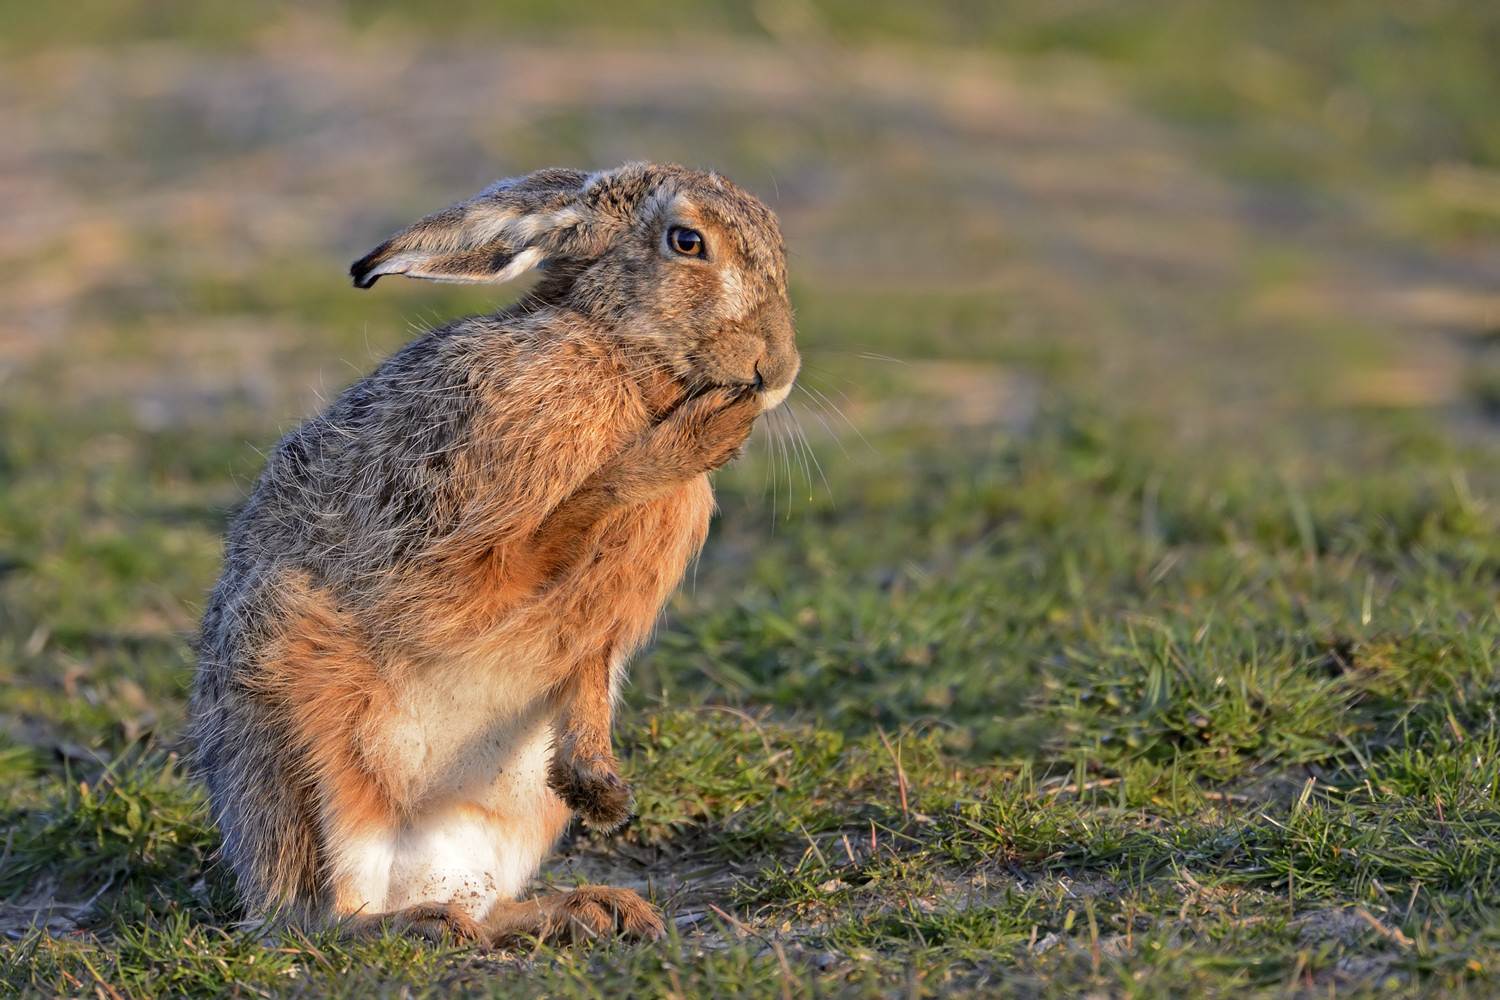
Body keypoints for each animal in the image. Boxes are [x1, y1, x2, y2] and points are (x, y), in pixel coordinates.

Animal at [189, 163, 799, 945]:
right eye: (687, 242)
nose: (778, 371)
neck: (618, 357)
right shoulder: (445, 542)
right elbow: (571, 518)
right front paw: (693, 441)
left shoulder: (600, 630)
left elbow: (587, 672)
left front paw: (601, 790)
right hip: (305, 724)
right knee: (319, 917)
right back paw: (420, 923)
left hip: (511, 813)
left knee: (487, 906)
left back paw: (593, 908)